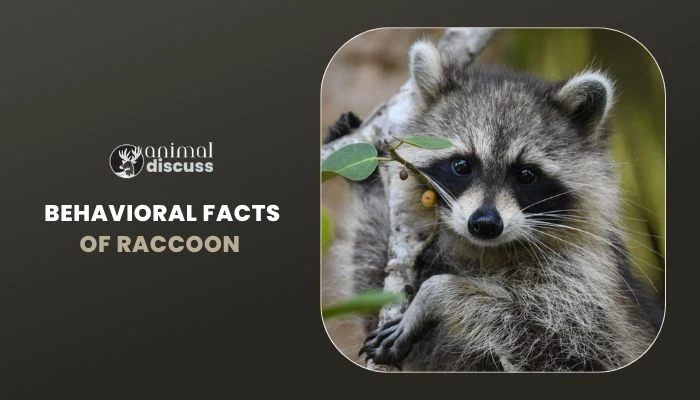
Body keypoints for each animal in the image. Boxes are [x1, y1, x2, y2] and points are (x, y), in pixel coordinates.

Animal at [326, 40, 663, 371]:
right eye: (461, 165)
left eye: (526, 175)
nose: (485, 224)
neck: (486, 251)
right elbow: (371, 292)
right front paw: (367, 183)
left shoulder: (586, 282)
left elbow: (566, 344)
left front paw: (437, 294)